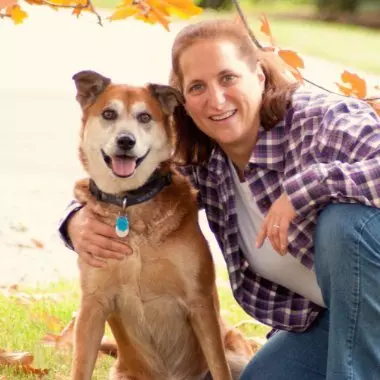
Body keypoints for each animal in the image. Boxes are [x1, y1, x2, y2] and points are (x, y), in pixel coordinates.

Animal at [70, 70, 254, 378]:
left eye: (145, 117)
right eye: (108, 113)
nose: (126, 140)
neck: (129, 204)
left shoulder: (199, 301)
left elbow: (219, 366)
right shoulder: (92, 306)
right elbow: (81, 368)